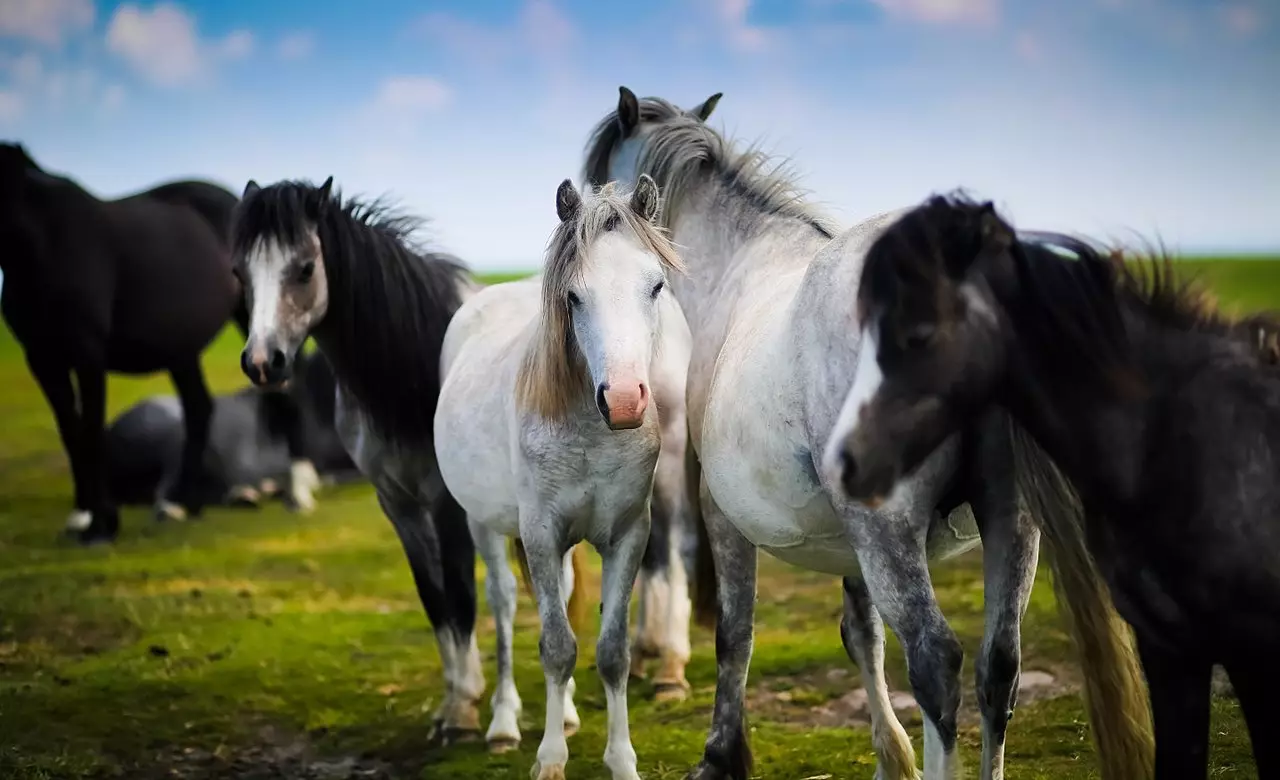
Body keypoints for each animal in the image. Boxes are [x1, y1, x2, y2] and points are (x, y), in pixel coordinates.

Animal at [0, 141, 312, 540]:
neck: (44, 239)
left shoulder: (88, 353)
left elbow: (91, 430)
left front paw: (101, 523)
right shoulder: (41, 357)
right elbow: (71, 432)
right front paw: (82, 516)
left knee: (285, 392)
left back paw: (299, 494)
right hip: (180, 348)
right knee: (198, 408)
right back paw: (181, 503)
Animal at [430, 175, 691, 778]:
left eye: (656, 286)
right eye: (573, 297)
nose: (624, 400)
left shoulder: (628, 536)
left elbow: (611, 651)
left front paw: (622, 760)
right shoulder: (541, 535)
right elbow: (555, 646)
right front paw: (549, 759)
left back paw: (567, 713)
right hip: (484, 525)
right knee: (503, 605)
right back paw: (503, 723)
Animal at [581, 88, 1152, 778]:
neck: (741, 264)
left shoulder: (726, 516)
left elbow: (734, 636)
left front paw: (722, 754)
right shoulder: (848, 538)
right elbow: (862, 635)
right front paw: (890, 757)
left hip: (891, 531)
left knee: (937, 662)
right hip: (1010, 523)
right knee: (999, 667)